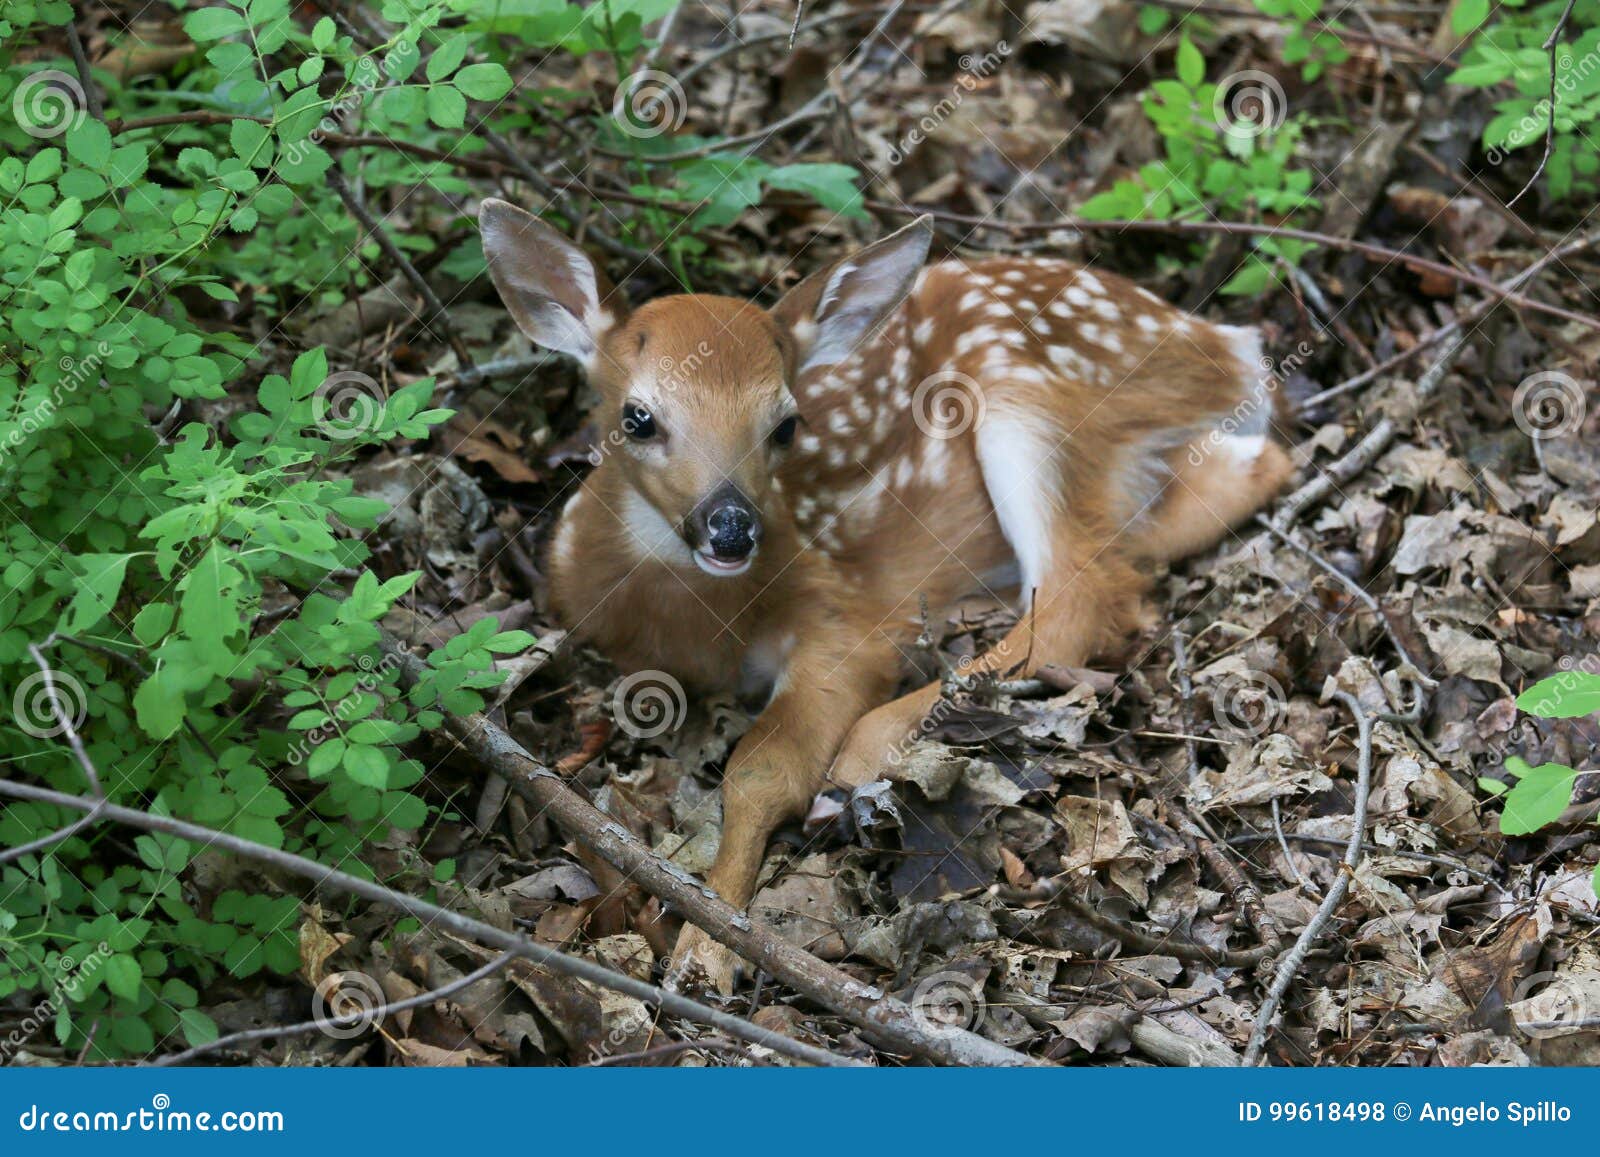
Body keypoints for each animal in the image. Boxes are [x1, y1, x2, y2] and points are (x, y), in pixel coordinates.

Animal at [479, 198, 1295, 991]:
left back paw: (862, 758)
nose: (733, 528)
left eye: (786, 424)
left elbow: (762, 769)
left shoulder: (838, 613)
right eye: (638, 417)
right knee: (1238, 473)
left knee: (1083, 590)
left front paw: (705, 953)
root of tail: (1218, 341)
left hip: (1021, 389)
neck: (686, 626)